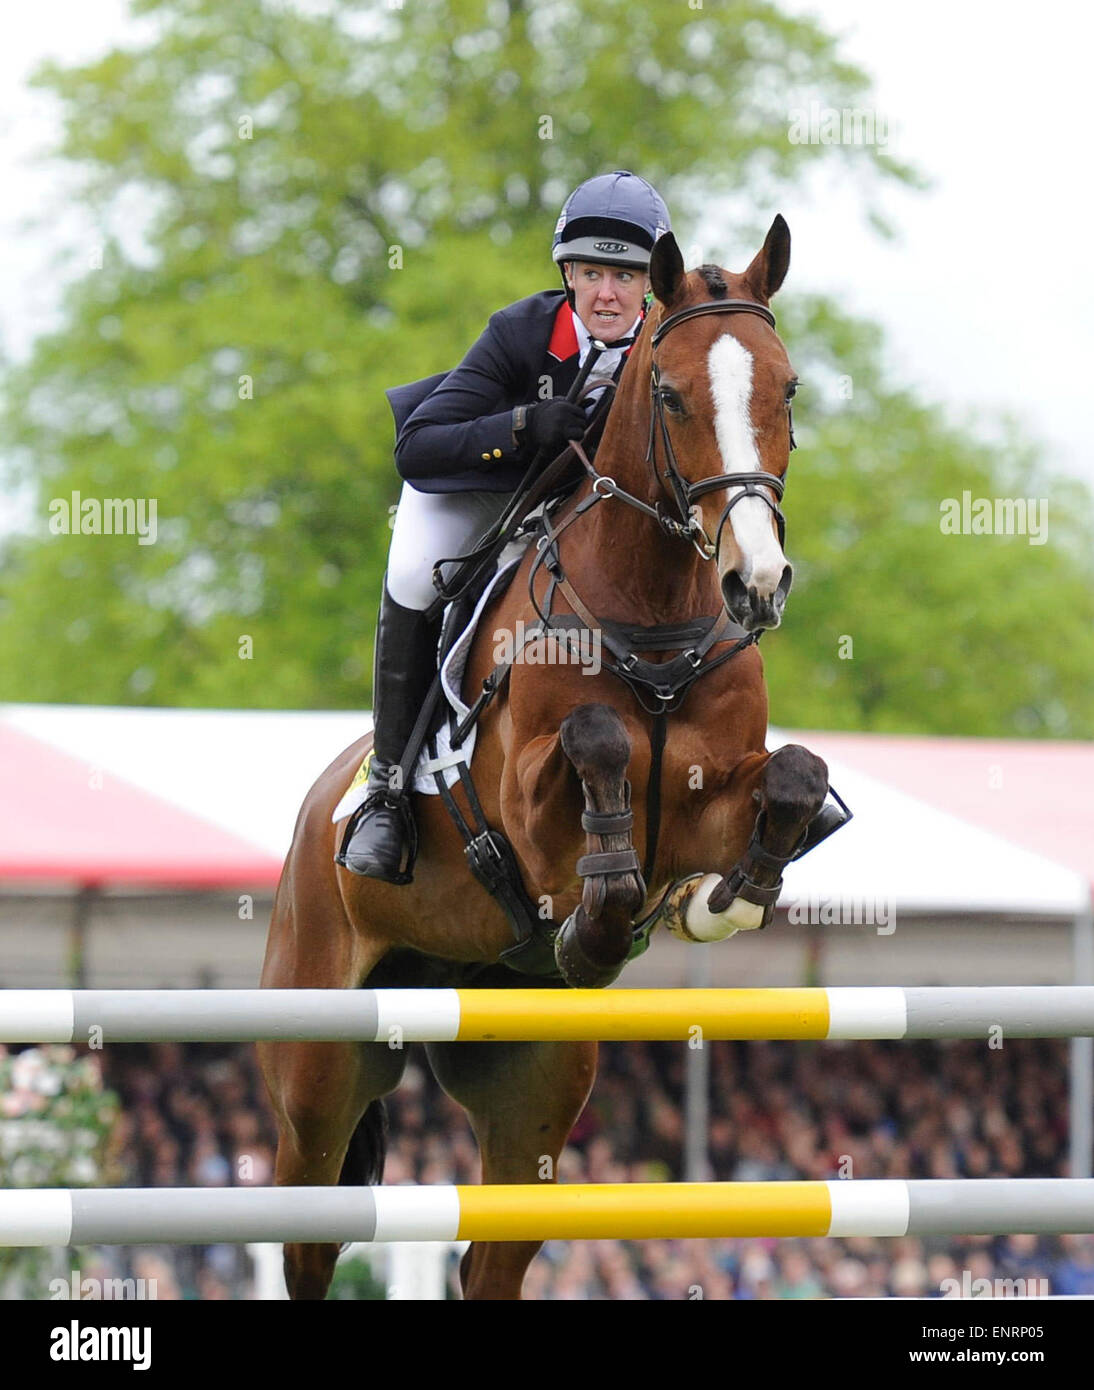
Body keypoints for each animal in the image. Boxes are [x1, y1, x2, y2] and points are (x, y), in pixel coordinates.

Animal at [257, 218, 837, 1300]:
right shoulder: (523, 808)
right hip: (317, 1075)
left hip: (532, 1085)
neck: (653, 612)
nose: (757, 584)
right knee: (307, 1236)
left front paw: (717, 901)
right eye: (669, 394)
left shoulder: (709, 796)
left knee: (493, 1257)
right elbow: (594, 747)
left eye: (786, 390)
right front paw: (602, 919)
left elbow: (793, 777)